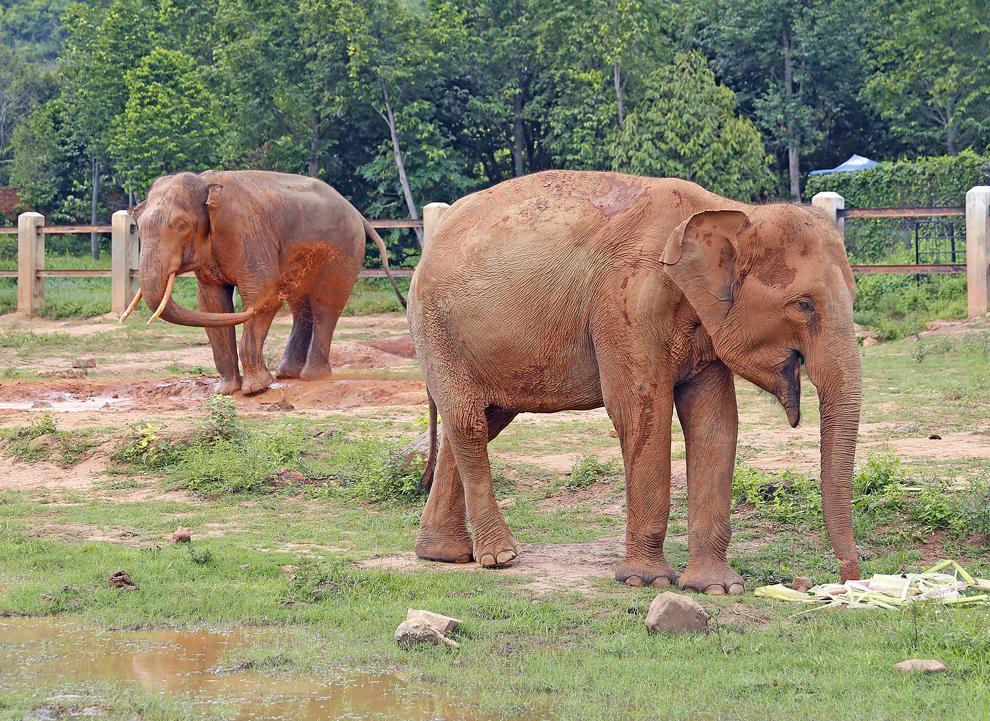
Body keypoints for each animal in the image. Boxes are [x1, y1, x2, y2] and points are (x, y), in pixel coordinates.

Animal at [125, 170, 406, 395]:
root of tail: (359, 214)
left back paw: (312, 377)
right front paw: (225, 391)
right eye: (138, 226)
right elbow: (211, 303)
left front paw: (255, 389)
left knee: (326, 303)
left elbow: (262, 290)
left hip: (343, 251)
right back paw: (288, 374)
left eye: (181, 226)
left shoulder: (246, 232)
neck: (207, 184)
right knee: (300, 305)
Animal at [407, 170, 861, 594]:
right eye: (803, 305)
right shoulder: (627, 299)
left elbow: (715, 422)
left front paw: (716, 587)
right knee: (468, 422)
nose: (845, 581)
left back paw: (444, 554)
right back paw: (500, 557)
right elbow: (641, 409)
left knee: (481, 422)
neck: (729, 210)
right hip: (437, 330)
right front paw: (647, 581)